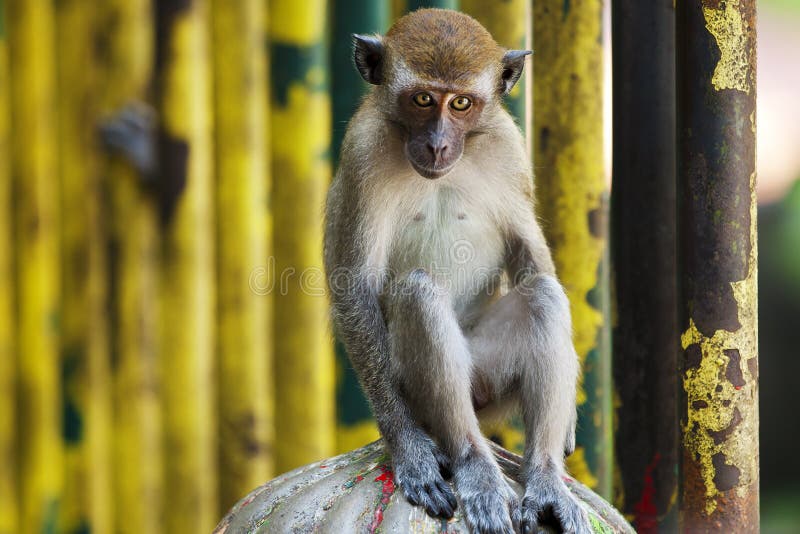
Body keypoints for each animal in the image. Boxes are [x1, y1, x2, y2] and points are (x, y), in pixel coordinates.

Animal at [324, 9, 591, 534]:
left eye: (462, 103)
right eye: (423, 99)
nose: (438, 144)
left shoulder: (509, 146)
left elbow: (528, 253)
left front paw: (568, 418)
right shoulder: (362, 150)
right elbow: (354, 287)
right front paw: (408, 447)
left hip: (489, 381)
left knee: (543, 295)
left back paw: (545, 478)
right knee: (418, 292)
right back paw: (474, 466)